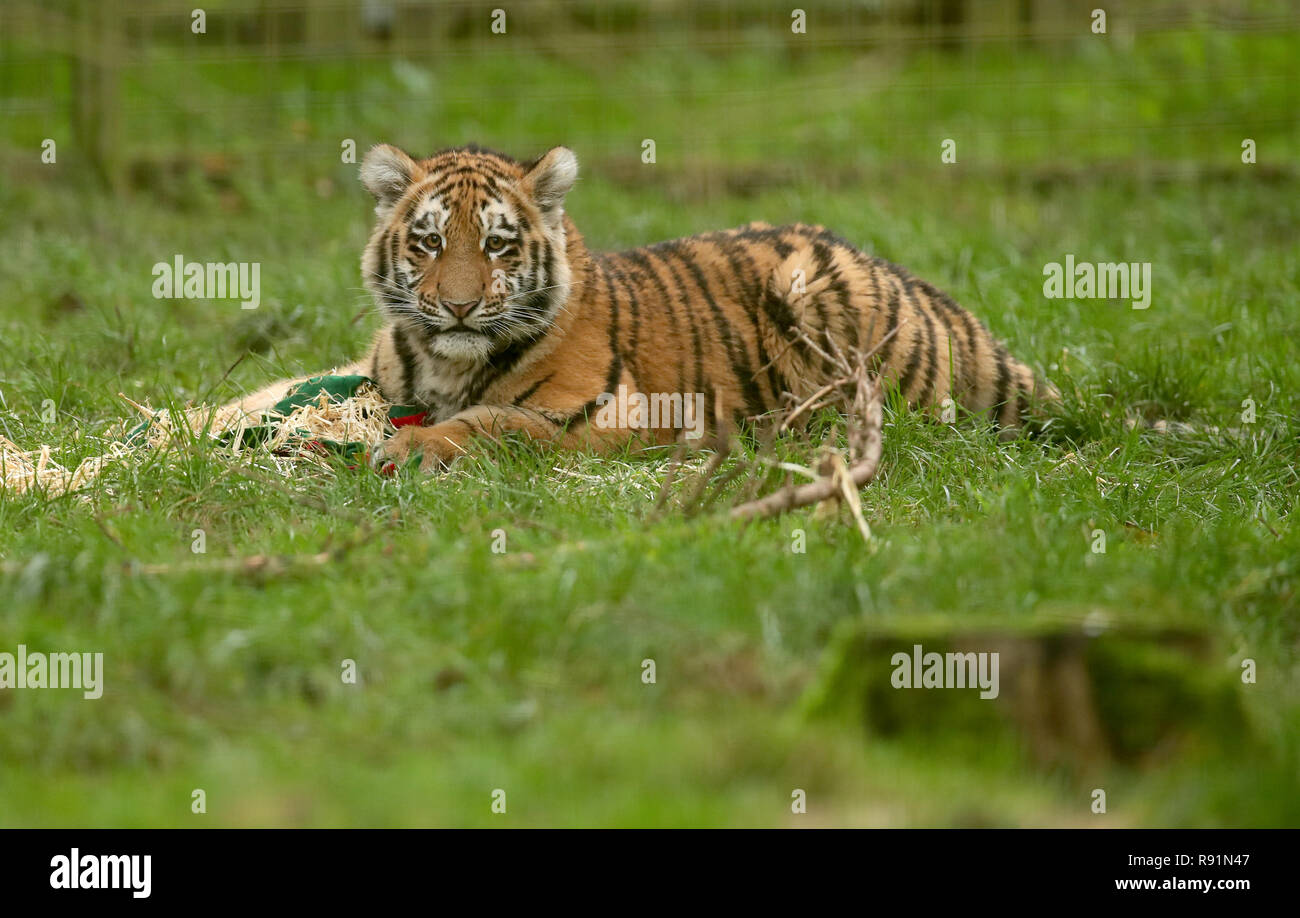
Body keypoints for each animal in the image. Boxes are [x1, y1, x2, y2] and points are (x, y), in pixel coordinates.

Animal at [227, 143, 1054, 471]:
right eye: (430, 242)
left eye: (496, 246)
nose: (458, 308)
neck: (441, 361)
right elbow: (269, 394)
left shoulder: (602, 414)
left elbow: (490, 422)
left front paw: (411, 449)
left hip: (820, 293)